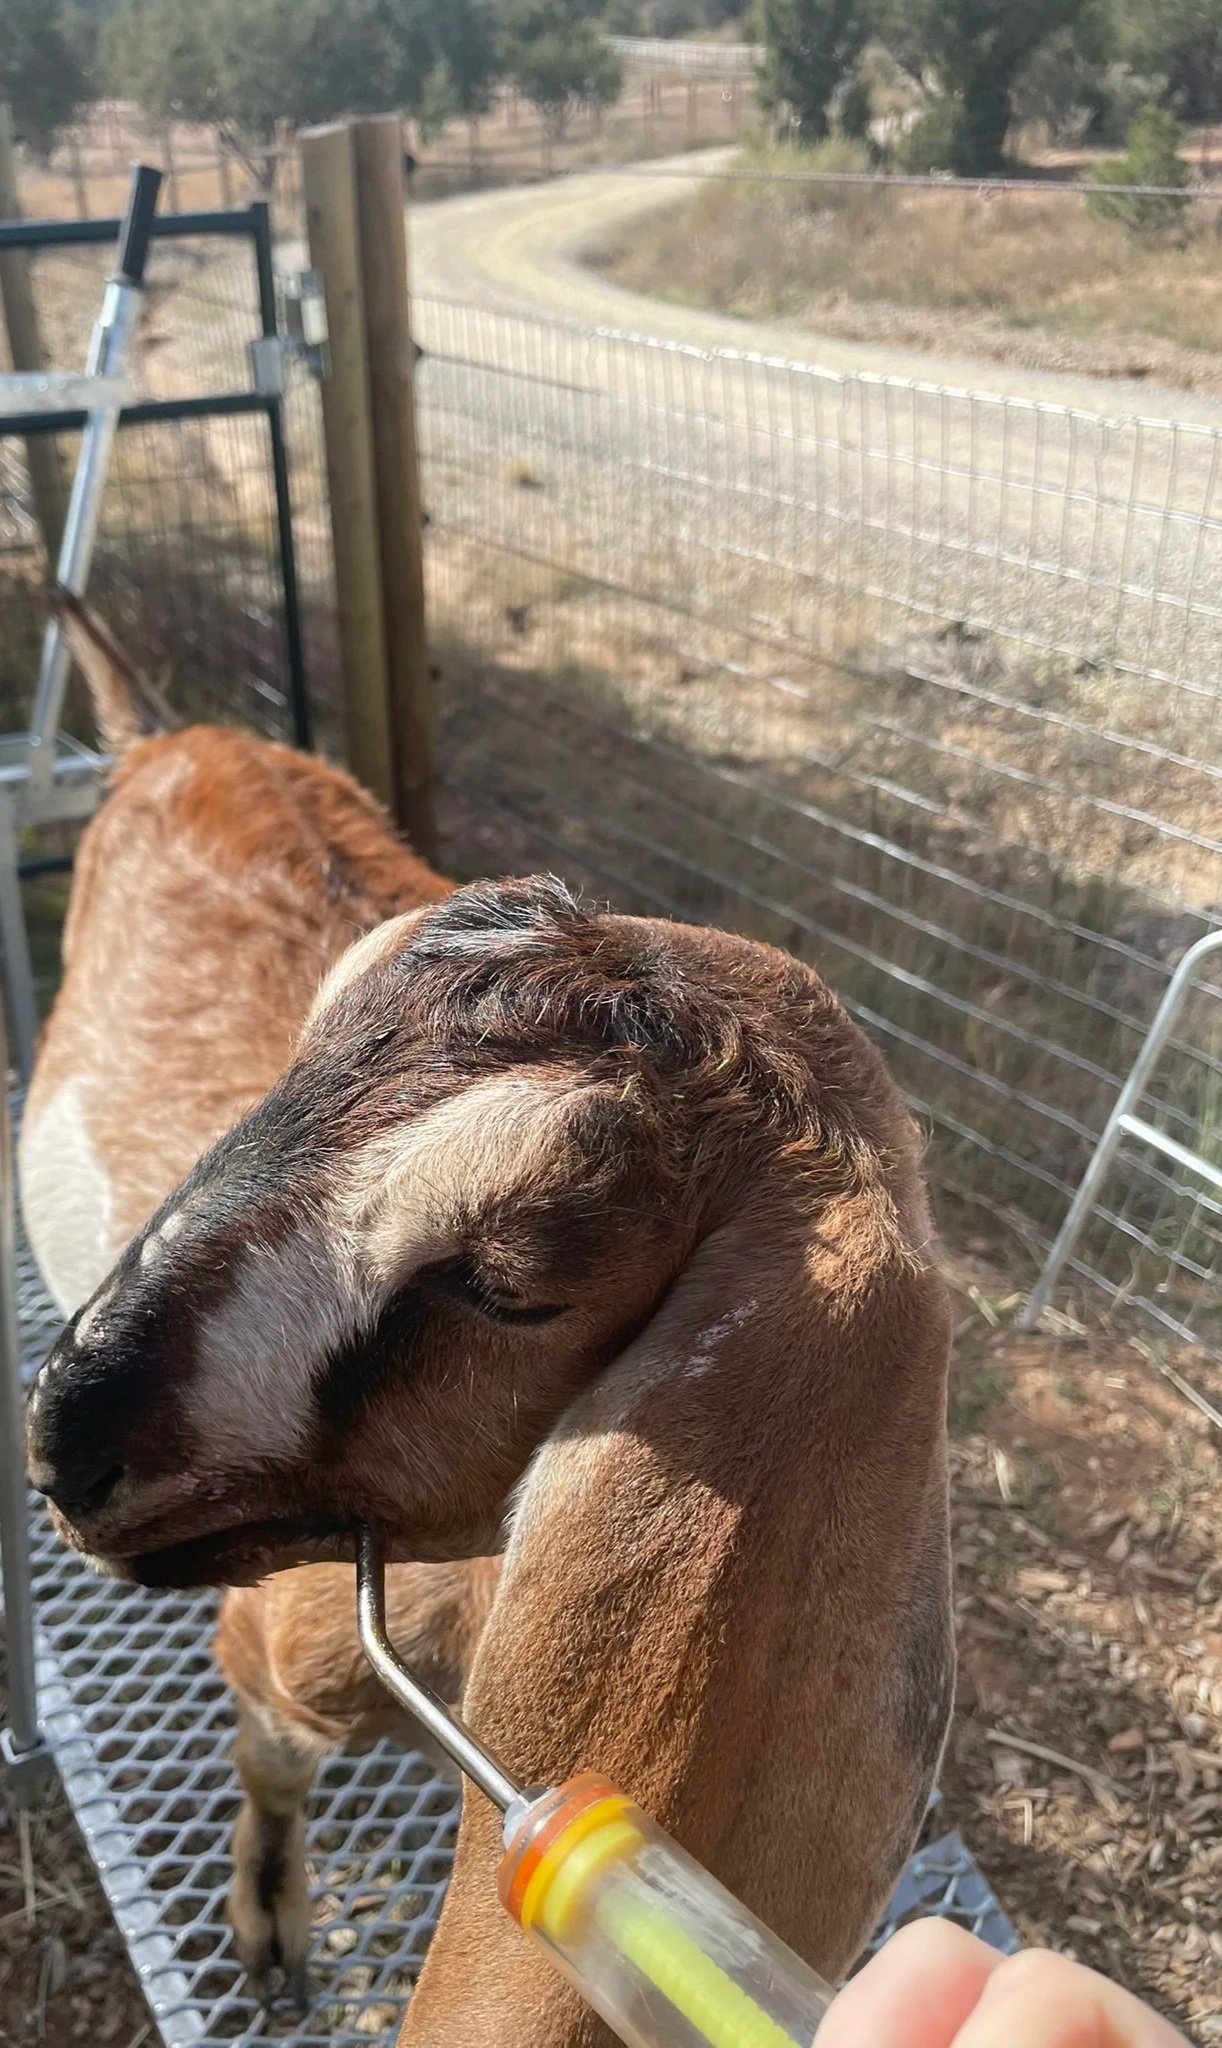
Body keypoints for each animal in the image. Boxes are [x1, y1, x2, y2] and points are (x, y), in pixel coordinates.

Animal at [23, 599, 954, 2046]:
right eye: (302, 1037)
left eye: (513, 1282)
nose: (69, 1435)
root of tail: (182, 733)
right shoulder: (273, 1657)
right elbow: (268, 1755)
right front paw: (269, 1920)